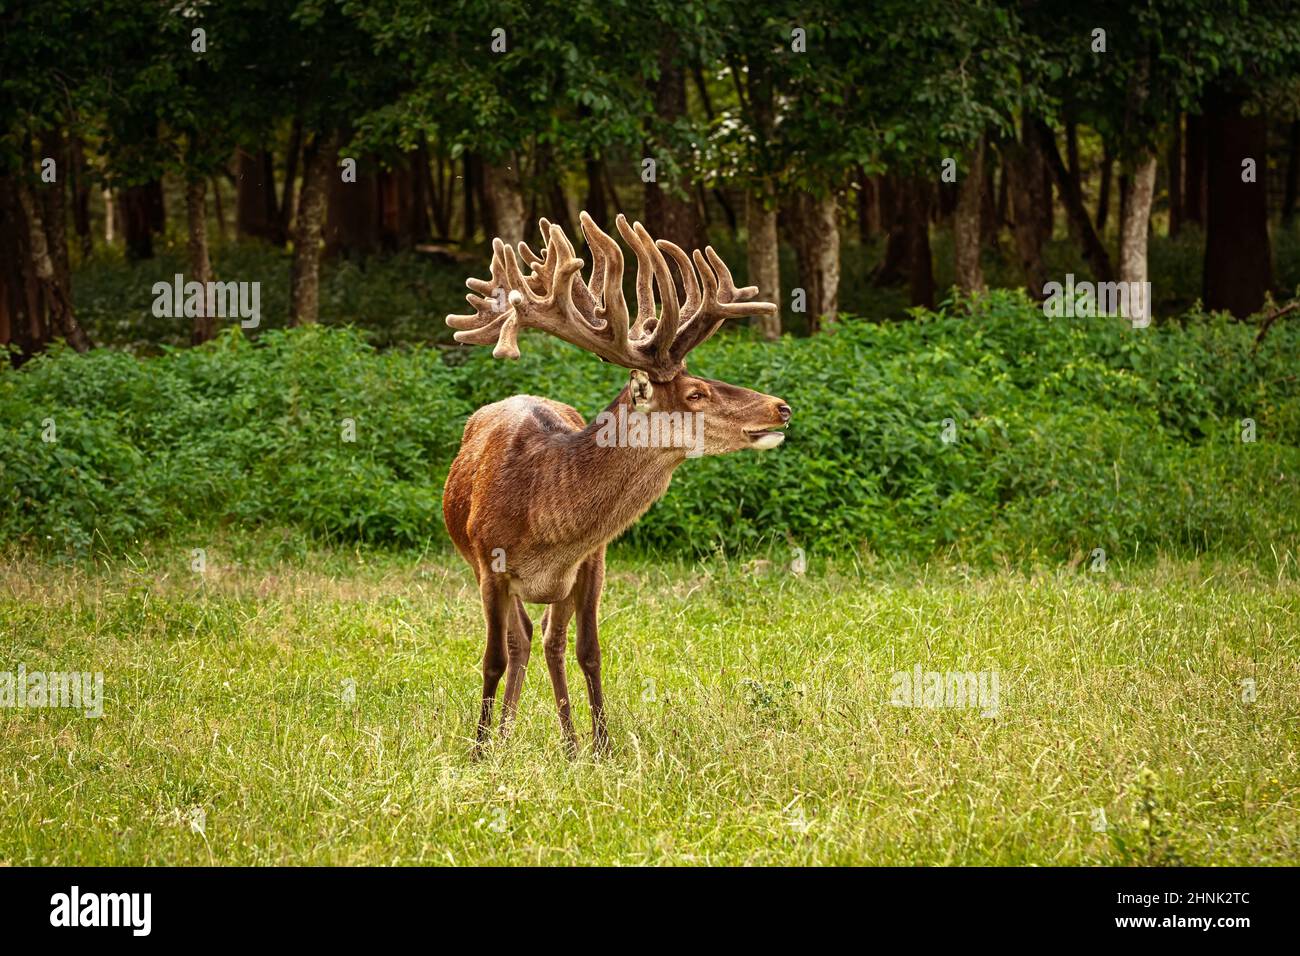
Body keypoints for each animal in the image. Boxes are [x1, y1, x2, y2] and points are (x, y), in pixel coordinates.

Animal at [443, 211, 791, 756]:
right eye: (696, 392)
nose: (781, 407)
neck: (543, 516)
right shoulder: (488, 564)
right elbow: (492, 657)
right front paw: (478, 751)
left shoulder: (593, 559)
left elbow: (588, 650)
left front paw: (600, 747)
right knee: (520, 640)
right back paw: (503, 735)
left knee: (545, 640)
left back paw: (558, 741)